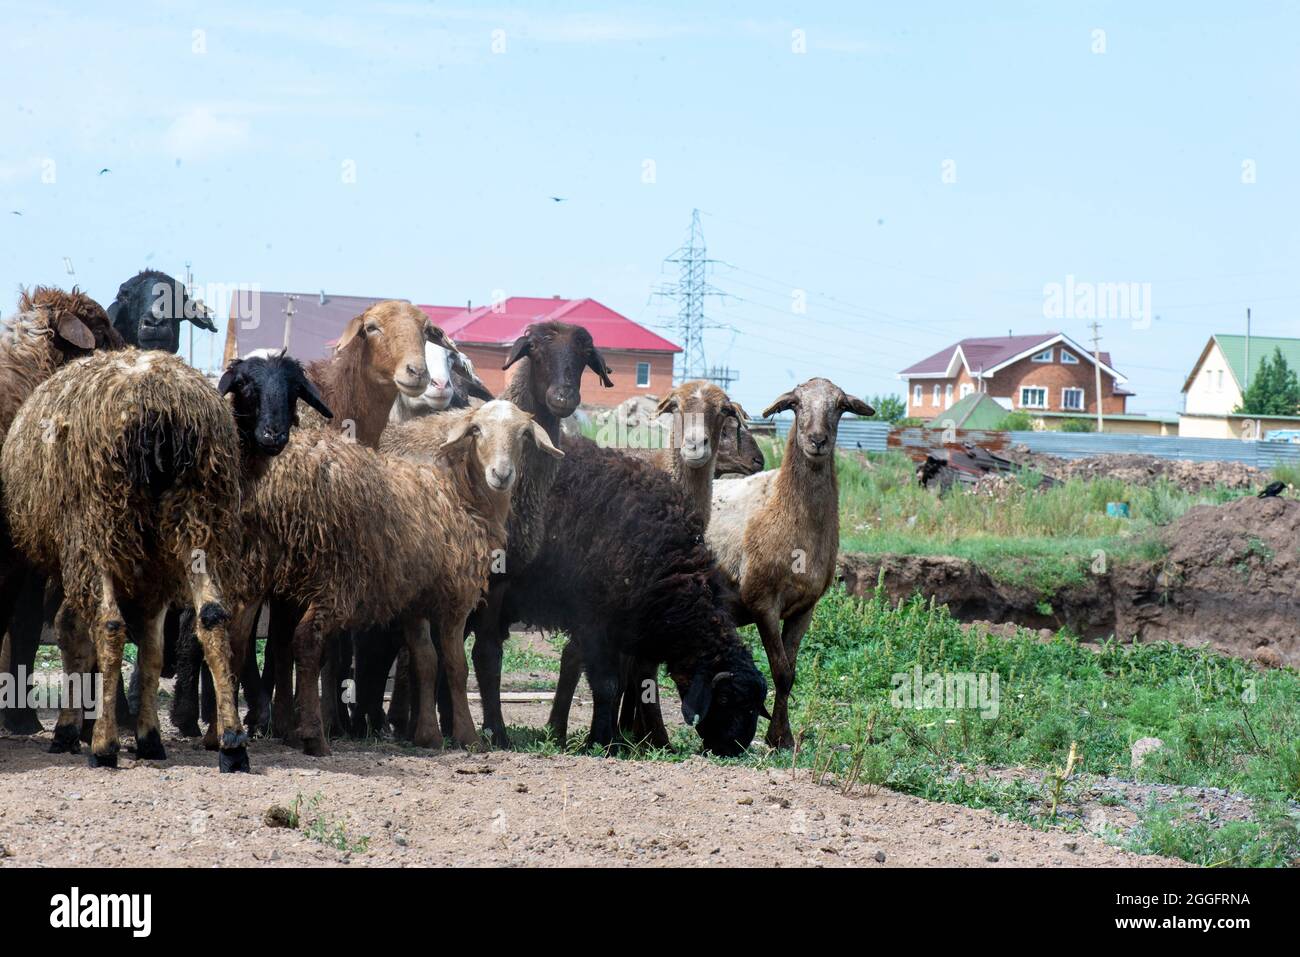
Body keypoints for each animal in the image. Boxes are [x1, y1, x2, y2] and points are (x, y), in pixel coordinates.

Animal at [1, 349, 247, 770]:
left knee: (110, 624)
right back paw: (232, 744)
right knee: (212, 616)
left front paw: (71, 731)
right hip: (198, 519)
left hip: (97, 523)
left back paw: (104, 746)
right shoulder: (153, 572)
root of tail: (159, 408)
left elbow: (76, 632)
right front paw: (148, 737)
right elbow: (151, 650)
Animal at [219, 353, 562, 754]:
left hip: (260, 571)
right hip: (334, 578)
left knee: (239, 638)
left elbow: (424, 662)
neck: (461, 492)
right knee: (306, 642)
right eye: (477, 430)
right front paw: (467, 735)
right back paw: (314, 735)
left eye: (523, 435)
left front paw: (427, 734)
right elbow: (455, 666)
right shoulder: (456, 599)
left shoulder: (415, 600)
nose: (501, 474)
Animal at [706, 377, 873, 748]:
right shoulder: (762, 600)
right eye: (795, 404)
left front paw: (783, 737)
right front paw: (778, 736)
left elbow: (792, 670)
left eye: (841, 406)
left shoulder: (805, 607)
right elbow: (780, 671)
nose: (817, 440)